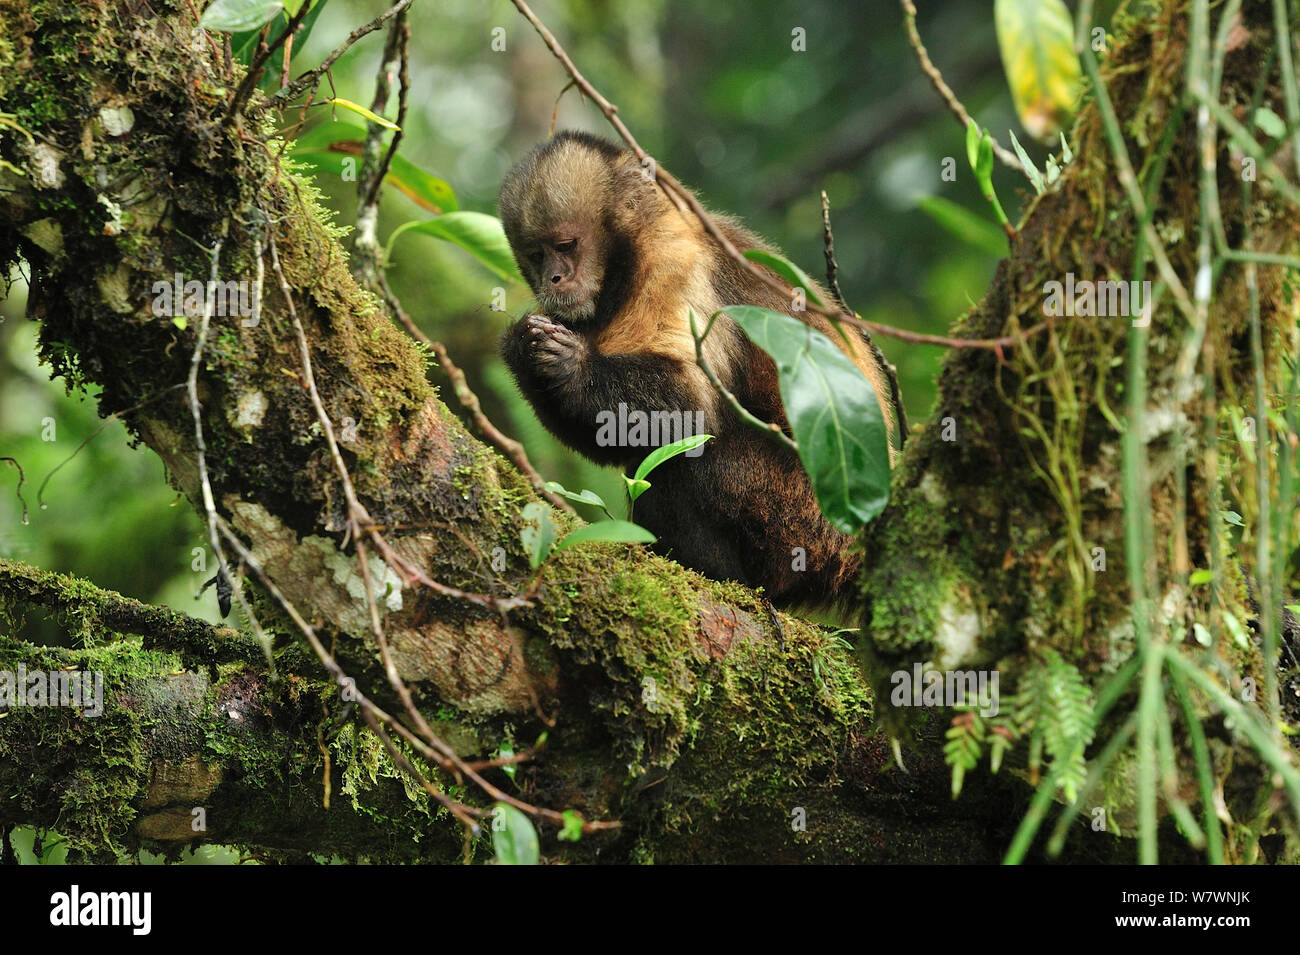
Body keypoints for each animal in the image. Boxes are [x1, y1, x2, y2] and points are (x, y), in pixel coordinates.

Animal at [498, 130, 903, 608]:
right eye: (536, 255)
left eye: (566, 246)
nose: (553, 280)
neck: (625, 266)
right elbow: (609, 436)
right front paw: (523, 348)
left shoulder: (674, 263)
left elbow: (685, 410)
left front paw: (570, 361)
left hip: (799, 517)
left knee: (689, 457)